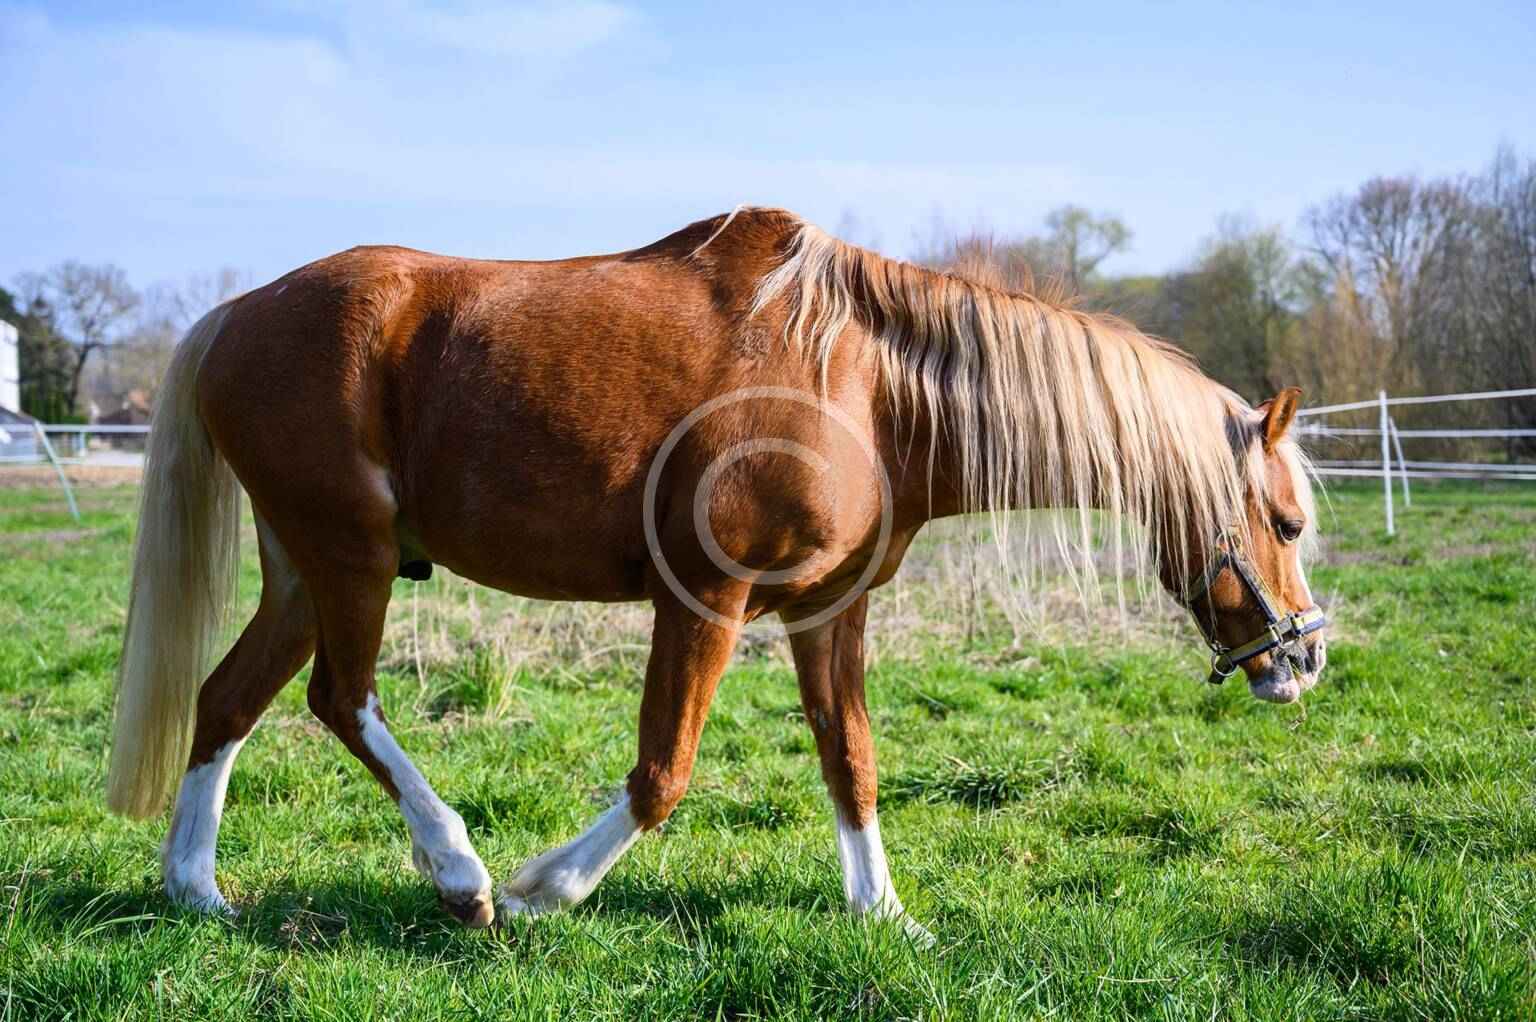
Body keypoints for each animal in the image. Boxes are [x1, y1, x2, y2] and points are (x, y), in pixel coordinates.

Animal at [105, 207, 1326, 939]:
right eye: (1286, 520)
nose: (1304, 660)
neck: (858, 379)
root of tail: (237, 314)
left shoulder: (827, 613)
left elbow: (852, 761)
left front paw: (883, 912)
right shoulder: (707, 598)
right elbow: (662, 773)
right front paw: (548, 888)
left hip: (301, 571)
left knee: (227, 701)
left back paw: (197, 888)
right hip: (350, 557)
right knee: (340, 698)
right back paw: (460, 871)